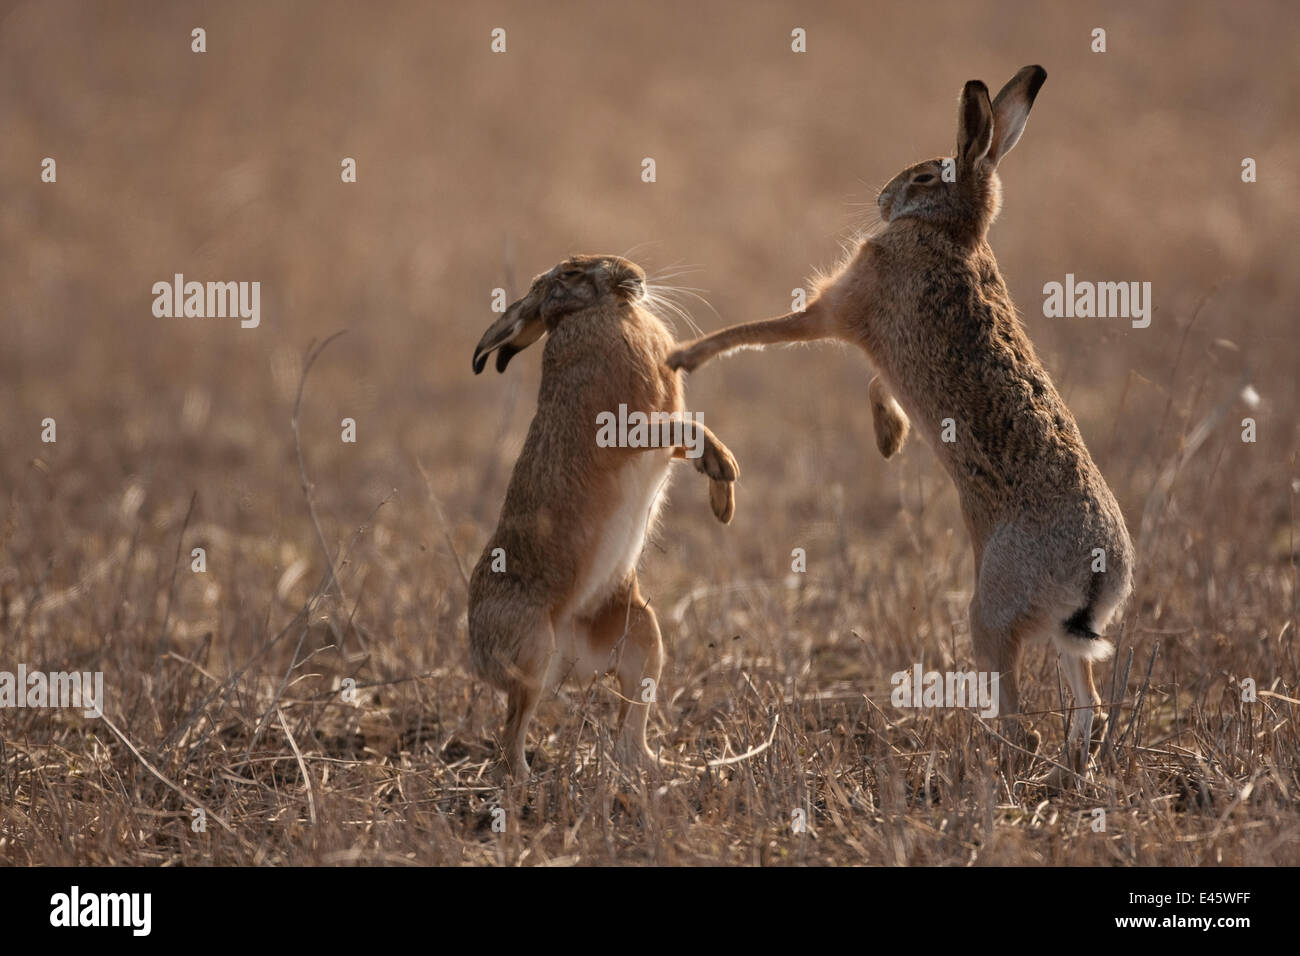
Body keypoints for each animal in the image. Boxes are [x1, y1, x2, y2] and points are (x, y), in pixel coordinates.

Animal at [469, 254, 740, 776]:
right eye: (572, 273)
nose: (636, 275)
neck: (600, 313)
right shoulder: (626, 427)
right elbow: (681, 426)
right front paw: (726, 468)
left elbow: (688, 433)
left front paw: (723, 496)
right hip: (532, 649)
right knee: (512, 732)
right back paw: (529, 781)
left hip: (642, 636)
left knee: (629, 734)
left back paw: (667, 771)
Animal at [667, 66, 1133, 772]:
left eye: (922, 178)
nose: (885, 198)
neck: (952, 232)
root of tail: (1099, 572)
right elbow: (875, 380)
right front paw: (890, 437)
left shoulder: (838, 308)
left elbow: (763, 331)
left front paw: (683, 355)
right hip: (1060, 632)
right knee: (1091, 706)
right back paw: (1073, 765)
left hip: (992, 610)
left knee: (1015, 715)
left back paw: (998, 761)